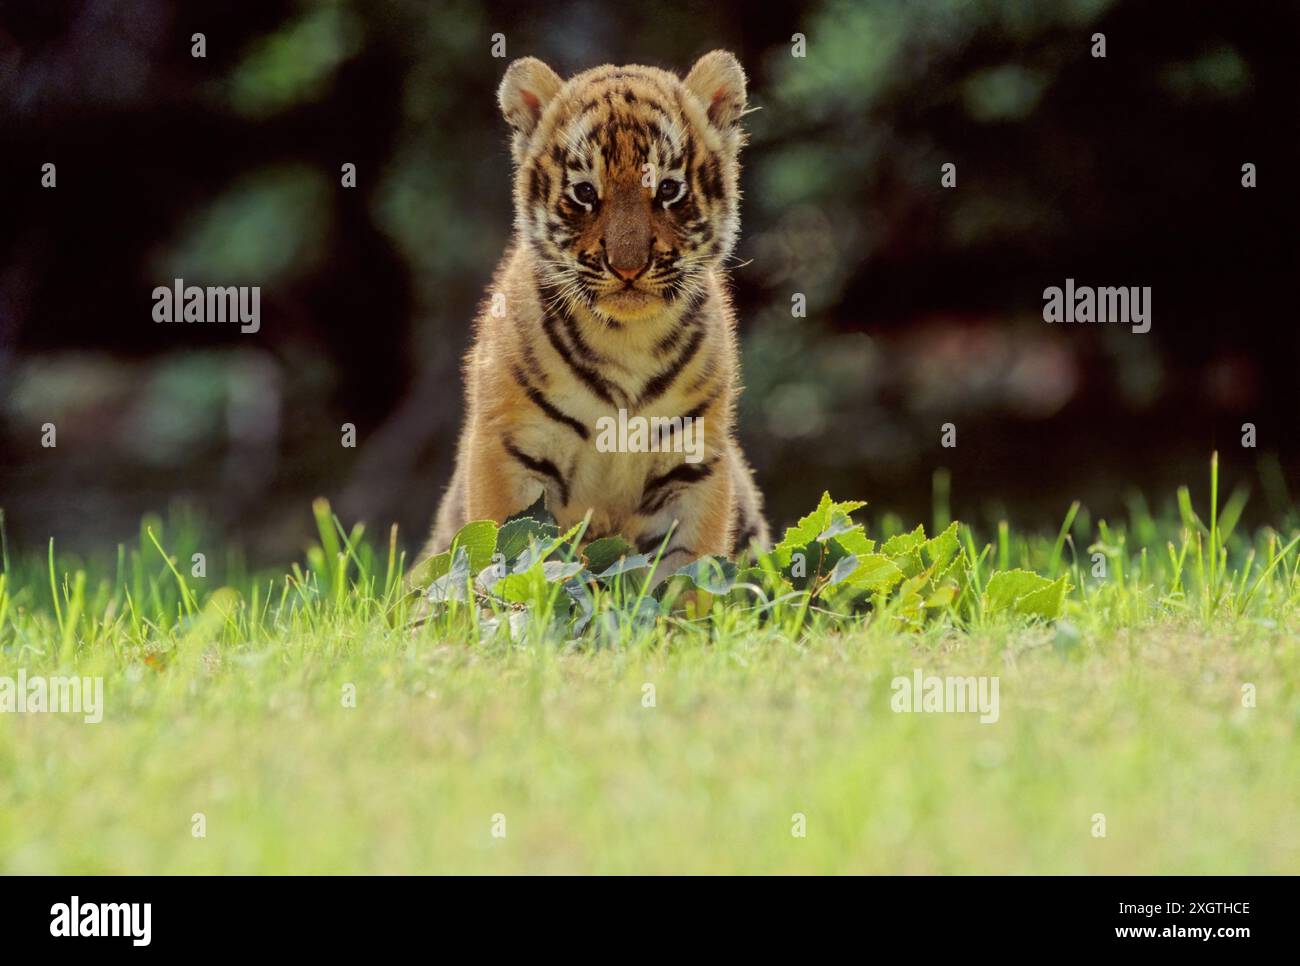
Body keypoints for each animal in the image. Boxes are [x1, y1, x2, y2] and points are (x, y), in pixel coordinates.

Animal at [422, 50, 769, 574]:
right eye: (585, 192)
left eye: (668, 189)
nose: (627, 266)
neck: (625, 337)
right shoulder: (512, 451)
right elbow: (506, 553)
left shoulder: (692, 459)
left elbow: (689, 572)